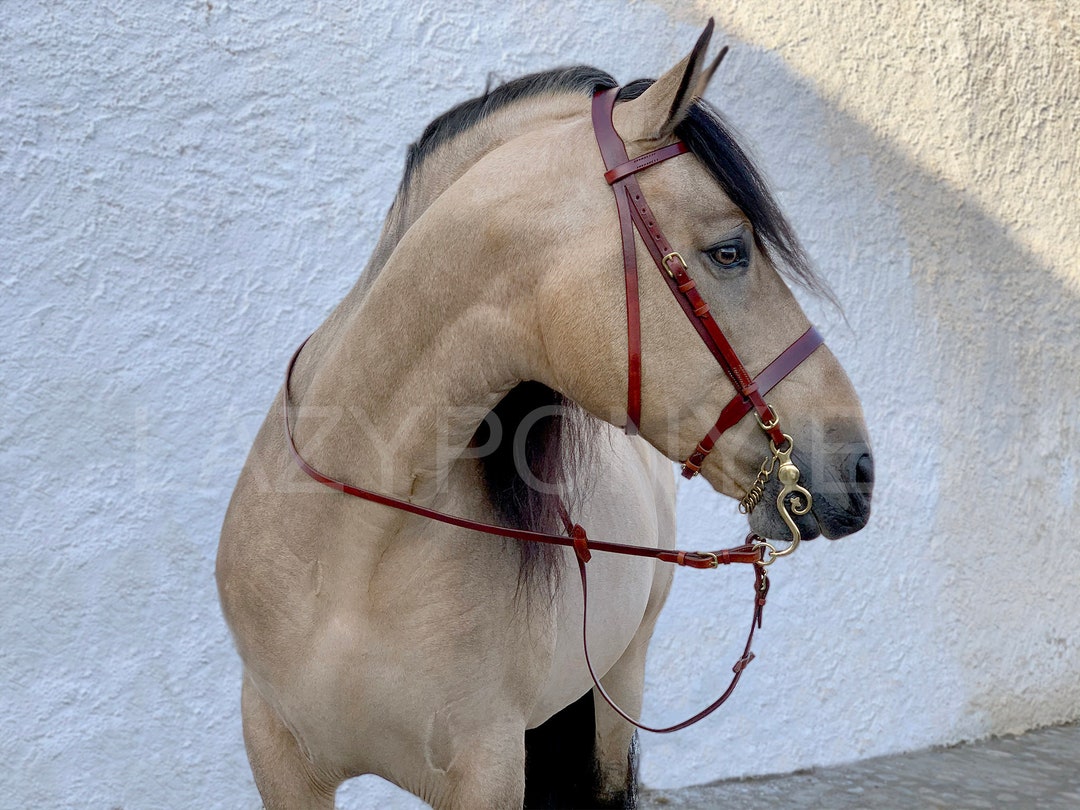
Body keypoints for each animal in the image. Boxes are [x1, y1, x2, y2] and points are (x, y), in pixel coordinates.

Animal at [216, 21, 874, 810]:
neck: (351, 543)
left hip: (621, 682)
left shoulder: (488, 766)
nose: (859, 468)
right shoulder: (278, 759)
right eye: (729, 251)